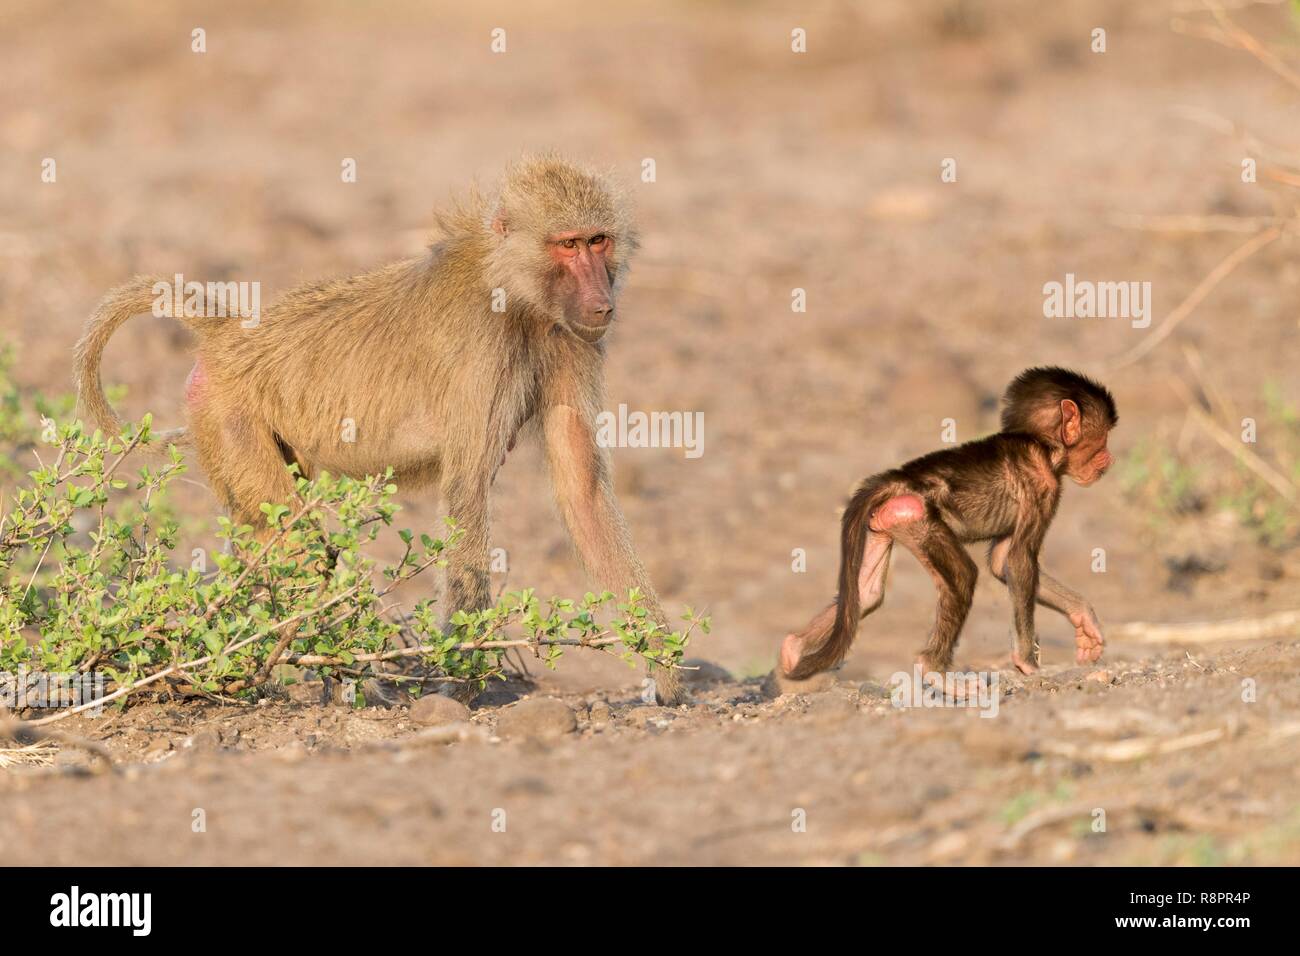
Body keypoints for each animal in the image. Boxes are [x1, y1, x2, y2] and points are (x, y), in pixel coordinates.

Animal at [74, 154, 686, 705]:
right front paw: (464, 692)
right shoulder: (485, 350)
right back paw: (342, 678)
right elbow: (466, 497)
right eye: (568, 245)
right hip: (227, 413)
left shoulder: (571, 340)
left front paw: (665, 673)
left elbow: (582, 490)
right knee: (294, 540)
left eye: (598, 241)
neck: (516, 289)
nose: (601, 302)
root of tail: (231, 331)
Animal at [779, 366, 1117, 683]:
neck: (1042, 445)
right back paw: (934, 671)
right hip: (916, 515)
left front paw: (1083, 619)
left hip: (884, 522)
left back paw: (794, 647)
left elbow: (1001, 561)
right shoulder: (1043, 487)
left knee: (867, 591)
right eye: (1103, 440)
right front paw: (1027, 662)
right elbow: (1018, 559)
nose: (1110, 459)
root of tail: (900, 477)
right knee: (963, 576)